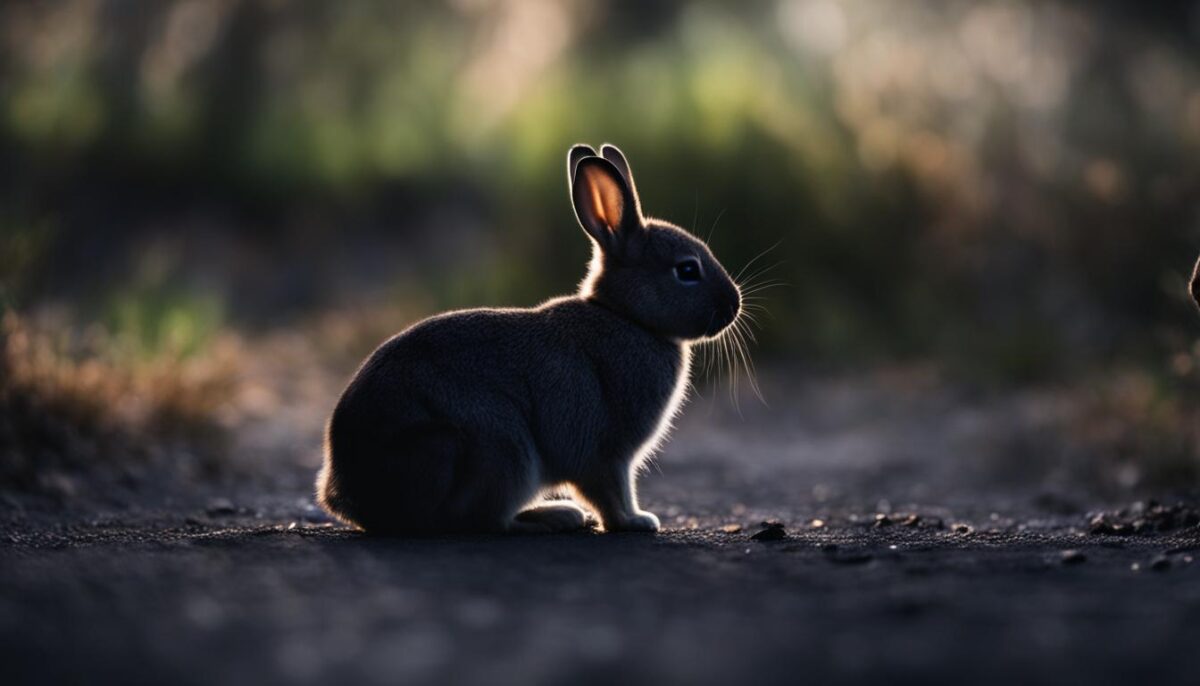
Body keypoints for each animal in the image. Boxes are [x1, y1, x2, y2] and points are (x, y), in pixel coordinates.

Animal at [316, 143, 742, 535]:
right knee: (480, 521)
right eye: (687, 270)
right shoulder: (608, 452)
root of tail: (347, 494)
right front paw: (637, 521)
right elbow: (611, 493)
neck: (627, 316)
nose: (733, 304)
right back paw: (557, 518)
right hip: (502, 448)